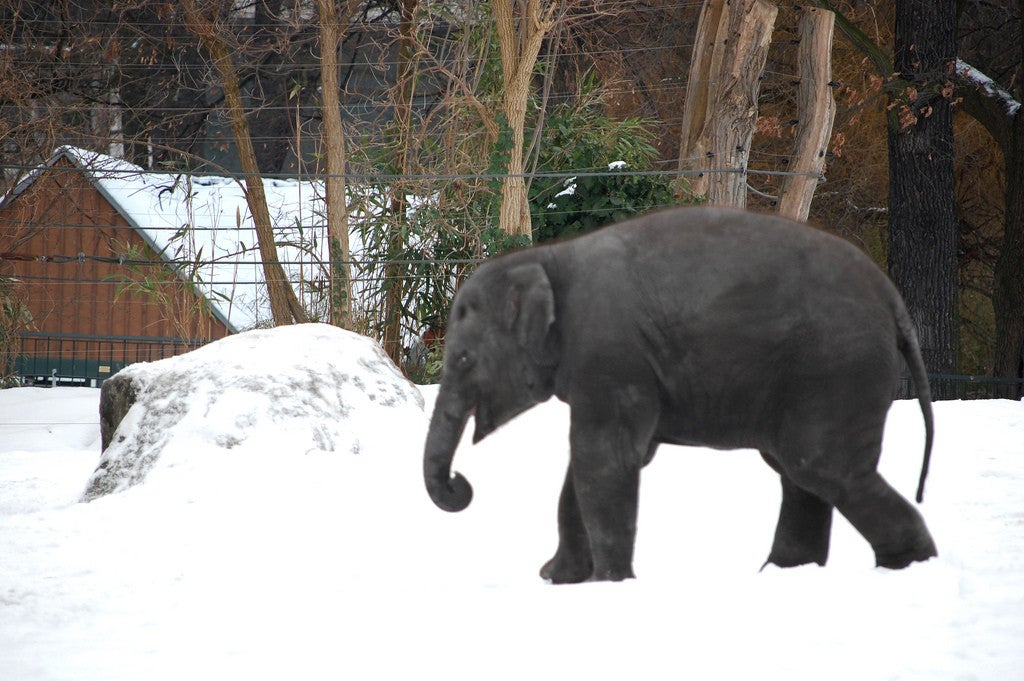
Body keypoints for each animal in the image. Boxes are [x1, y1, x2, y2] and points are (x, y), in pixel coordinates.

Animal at [423, 206, 938, 583]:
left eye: (463, 360)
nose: (460, 484)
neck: (548, 258)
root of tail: (893, 301)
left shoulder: (611, 359)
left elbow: (602, 459)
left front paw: (607, 585)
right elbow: (596, 462)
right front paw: (559, 579)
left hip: (836, 369)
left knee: (822, 468)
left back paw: (907, 570)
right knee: (799, 474)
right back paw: (782, 575)